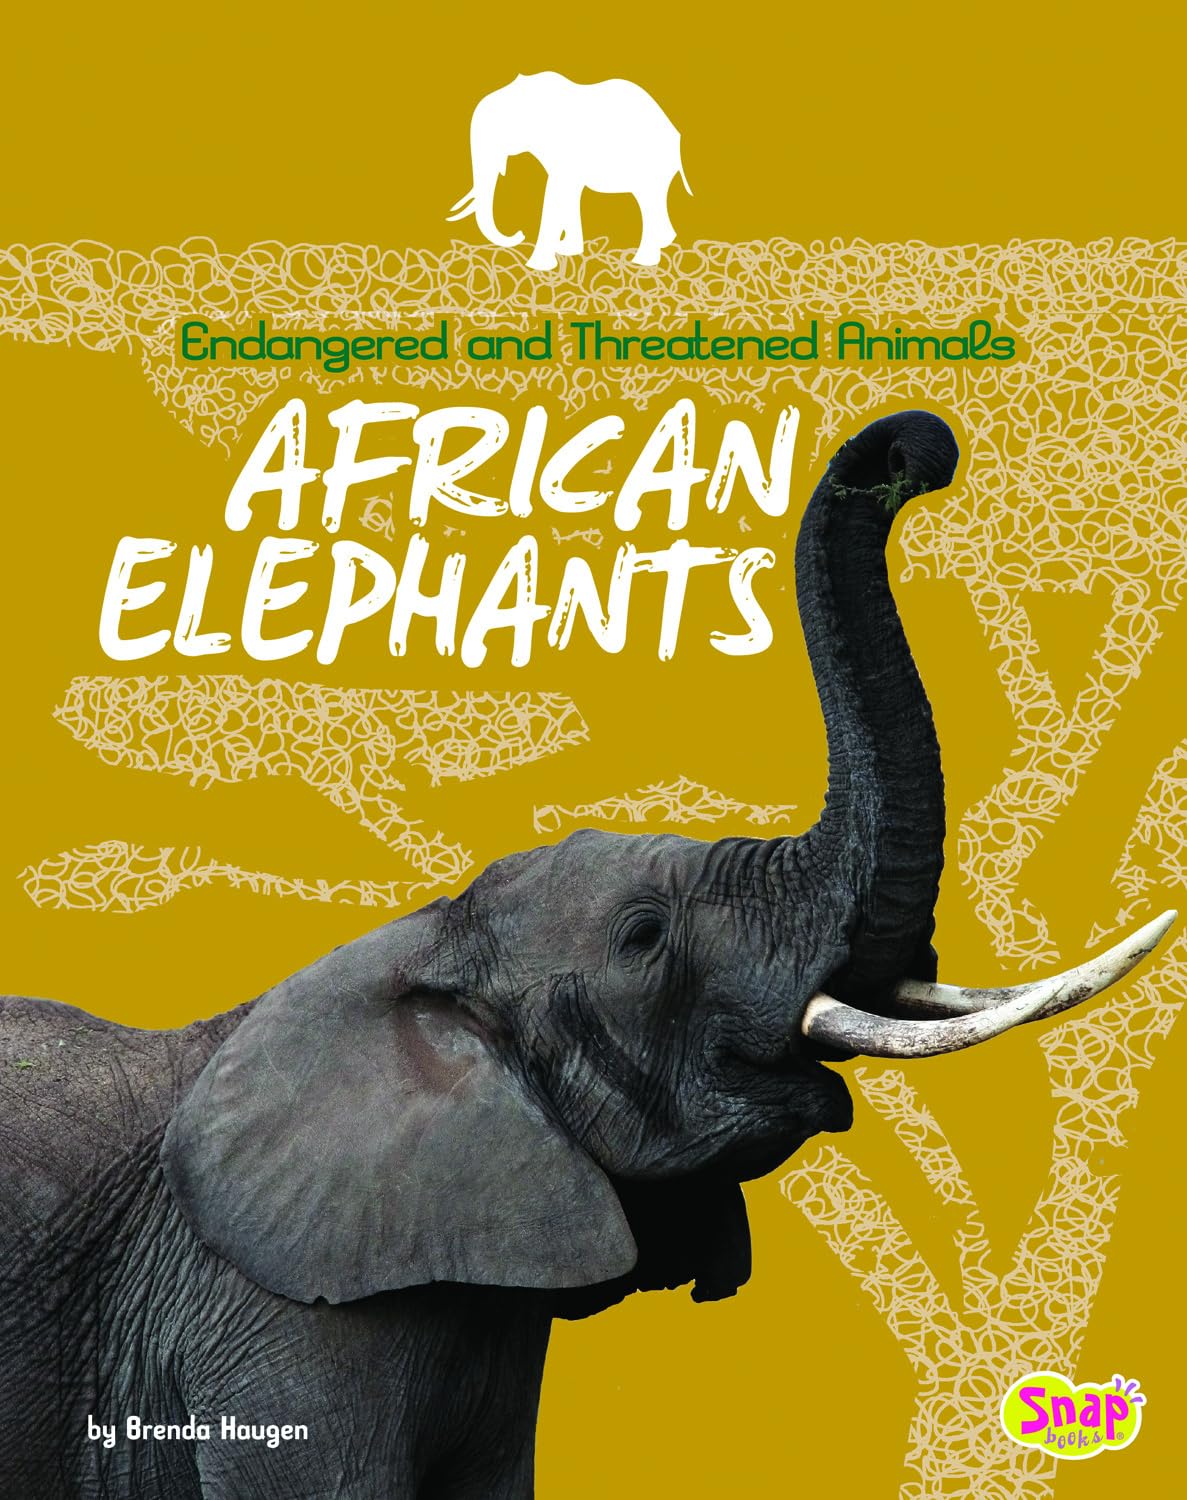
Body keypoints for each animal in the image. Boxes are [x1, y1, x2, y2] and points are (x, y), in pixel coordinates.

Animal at [446, 71, 690, 271]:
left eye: (501, 127)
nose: (519, 233)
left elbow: (556, 191)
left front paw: (537, 266)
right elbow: (569, 193)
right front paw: (567, 250)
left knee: (648, 201)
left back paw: (643, 261)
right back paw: (665, 241)